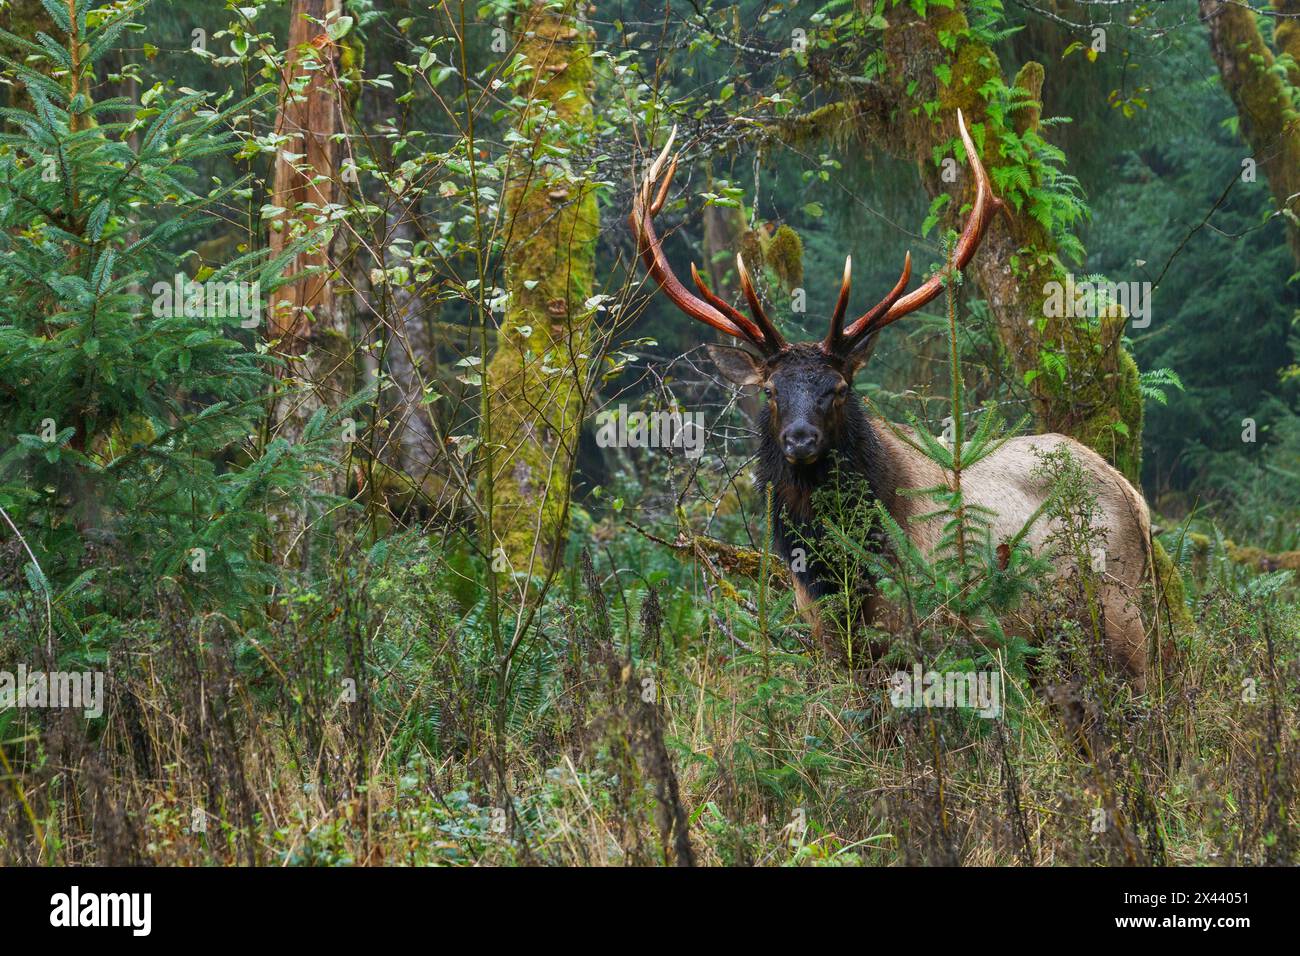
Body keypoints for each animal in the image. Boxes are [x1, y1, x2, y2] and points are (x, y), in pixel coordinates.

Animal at [629, 111, 1155, 690]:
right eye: (769, 390)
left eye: (838, 389)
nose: (800, 439)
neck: (837, 572)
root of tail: (1134, 497)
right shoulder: (833, 643)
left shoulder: (926, 635)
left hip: (1117, 609)